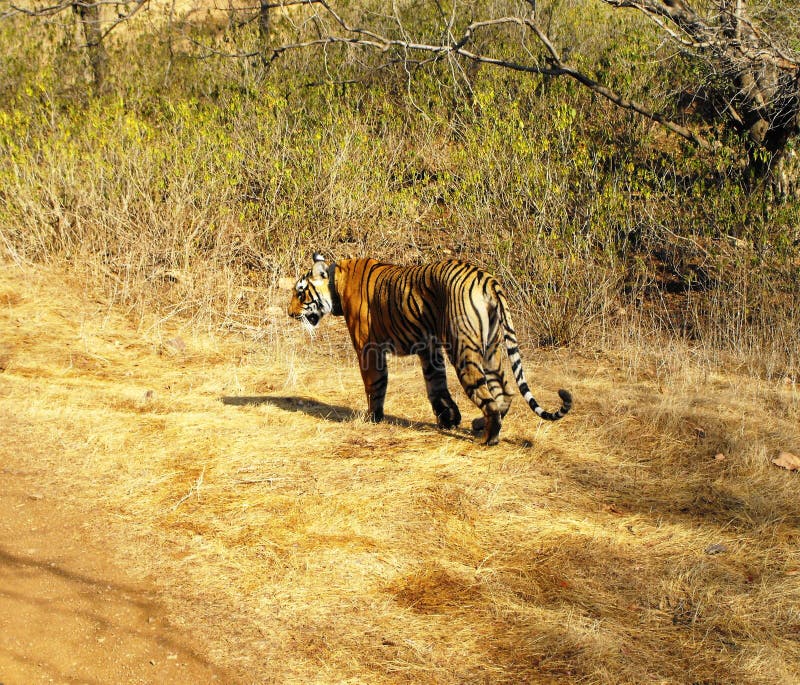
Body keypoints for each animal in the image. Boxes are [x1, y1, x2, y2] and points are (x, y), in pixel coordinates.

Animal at [287, 253, 572, 445]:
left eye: (300, 293)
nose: (289, 313)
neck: (337, 282)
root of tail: (487, 278)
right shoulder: (429, 347)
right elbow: (436, 385)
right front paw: (449, 418)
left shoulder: (368, 348)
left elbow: (375, 385)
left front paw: (372, 418)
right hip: (491, 348)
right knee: (505, 392)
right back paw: (480, 425)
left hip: (464, 348)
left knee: (488, 397)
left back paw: (488, 438)